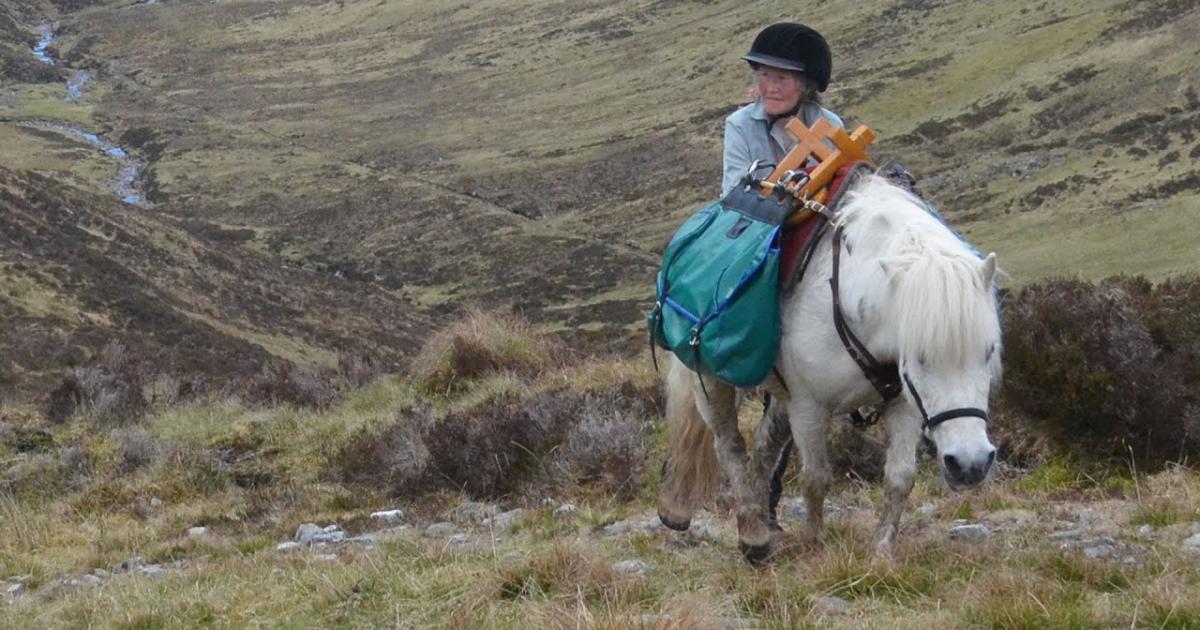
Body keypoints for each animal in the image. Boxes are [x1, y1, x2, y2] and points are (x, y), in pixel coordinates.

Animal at [656, 172, 1003, 562]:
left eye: (988, 351)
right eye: (921, 357)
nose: (971, 464)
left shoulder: (906, 404)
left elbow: (900, 477)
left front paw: (882, 552)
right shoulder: (809, 406)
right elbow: (816, 477)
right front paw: (813, 544)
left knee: (763, 448)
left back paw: (760, 519)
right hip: (711, 380)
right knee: (728, 446)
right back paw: (752, 535)